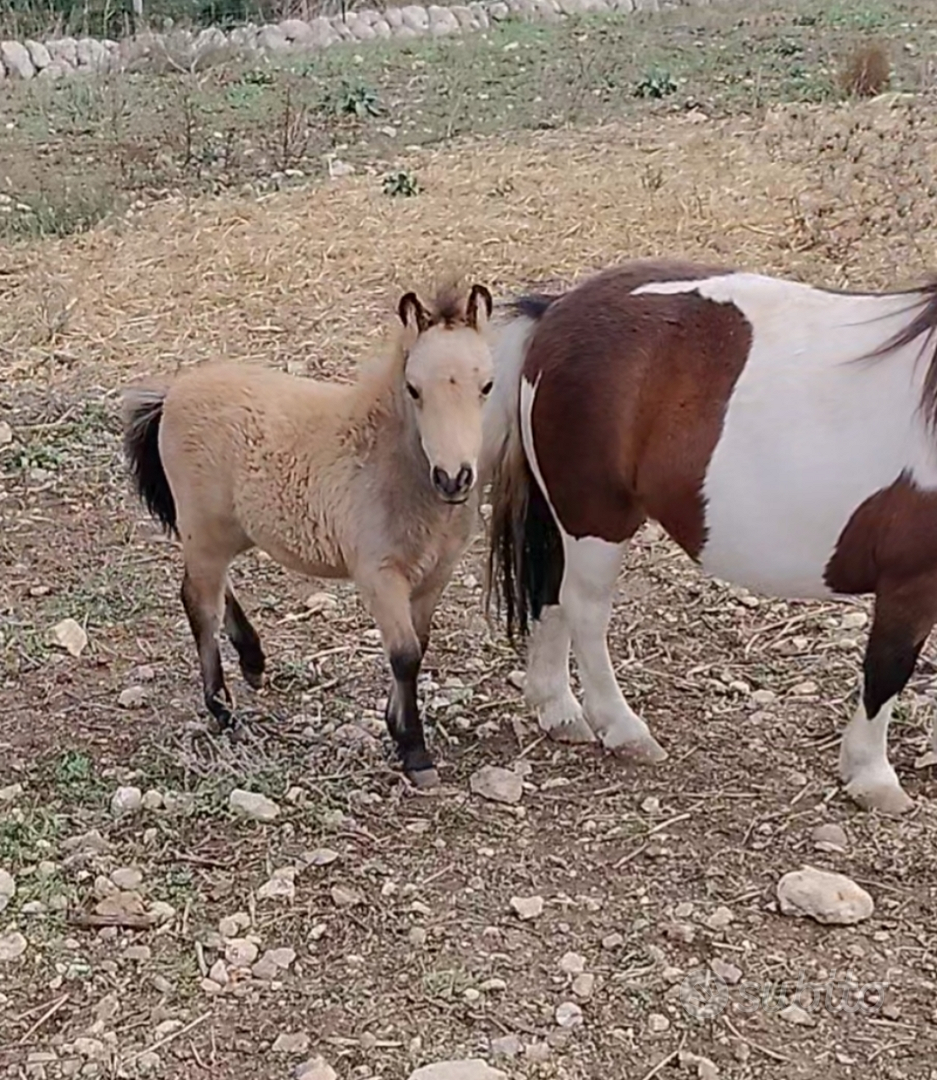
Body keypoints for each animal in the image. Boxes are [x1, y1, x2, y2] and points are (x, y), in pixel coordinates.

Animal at [120, 278, 495, 789]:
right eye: (414, 388)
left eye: (487, 386)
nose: (454, 478)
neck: (384, 460)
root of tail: (174, 391)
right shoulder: (377, 573)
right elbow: (403, 654)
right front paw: (415, 751)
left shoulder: (435, 575)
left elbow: (418, 646)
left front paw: (396, 728)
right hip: (204, 527)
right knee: (199, 601)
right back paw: (222, 709)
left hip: (227, 531)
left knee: (213, 588)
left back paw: (253, 662)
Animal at [483, 258, 937, 816]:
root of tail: (557, 309)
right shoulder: (911, 581)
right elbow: (888, 669)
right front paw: (871, 776)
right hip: (597, 519)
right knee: (584, 611)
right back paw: (623, 728)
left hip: (568, 515)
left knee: (550, 597)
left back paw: (559, 711)